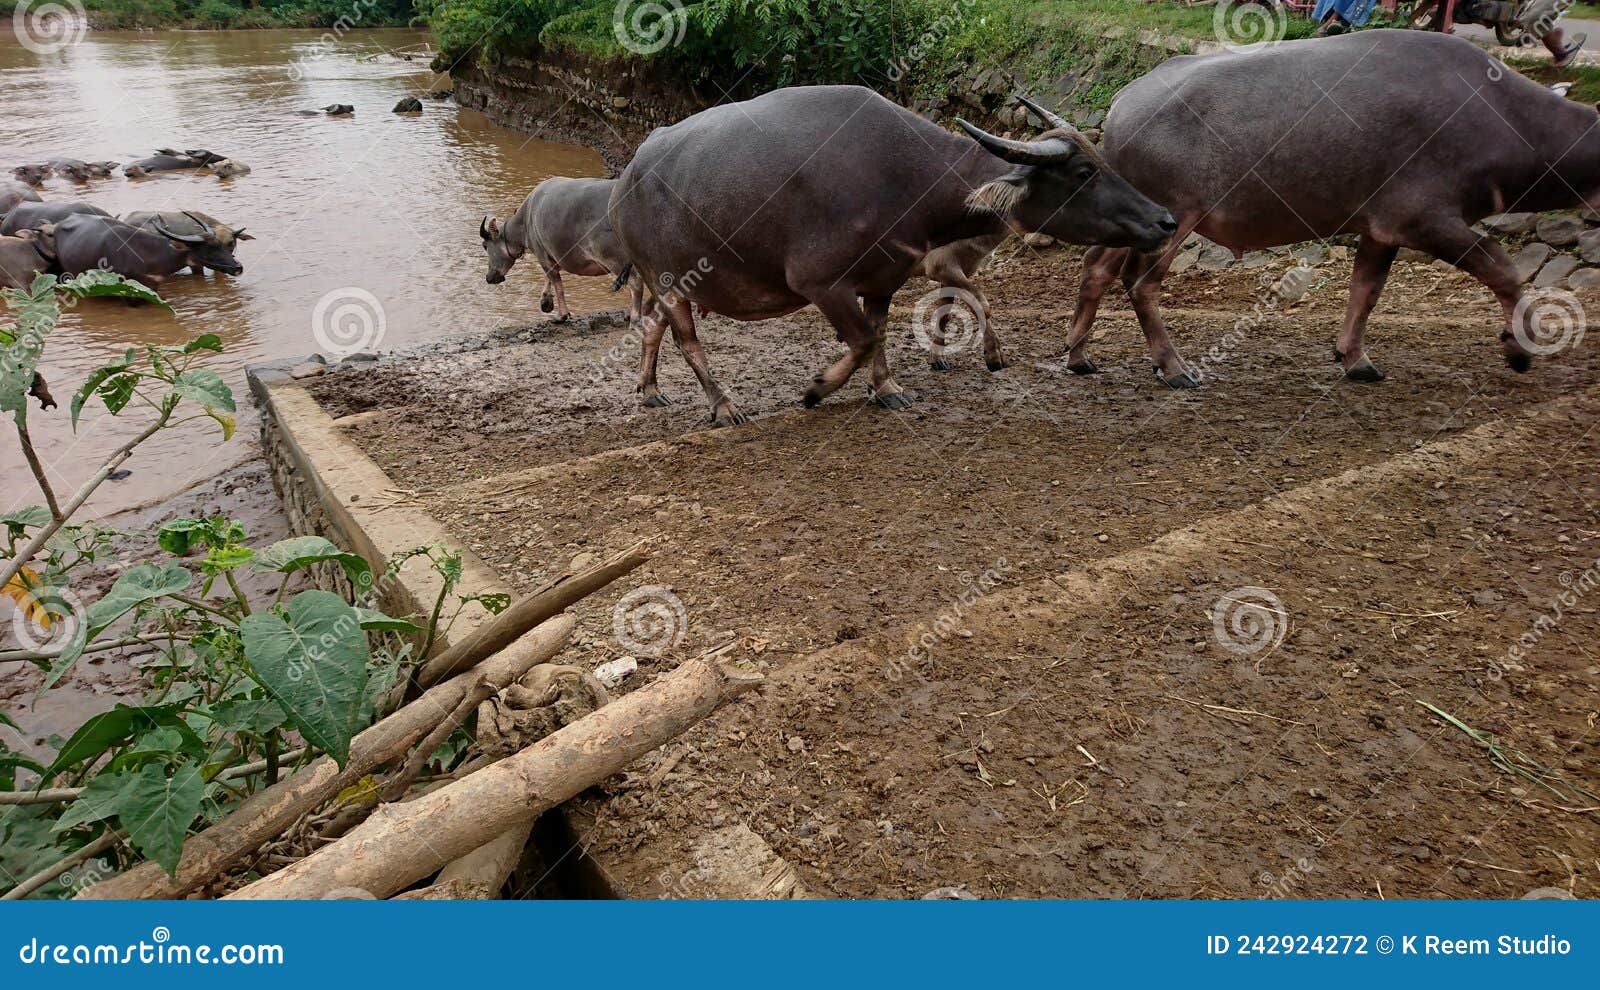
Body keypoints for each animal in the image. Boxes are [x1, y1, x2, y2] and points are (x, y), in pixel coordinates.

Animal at [609, 85, 1173, 425]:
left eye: (1104, 161)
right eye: (1083, 173)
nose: (1165, 220)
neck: (905, 179)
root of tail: (628, 177)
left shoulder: (885, 278)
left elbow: (877, 333)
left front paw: (886, 388)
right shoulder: (819, 283)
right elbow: (859, 339)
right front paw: (817, 388)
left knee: (655, 330)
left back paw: (650, 389)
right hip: (667, 280)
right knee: (685, 339)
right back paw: (724, 405)